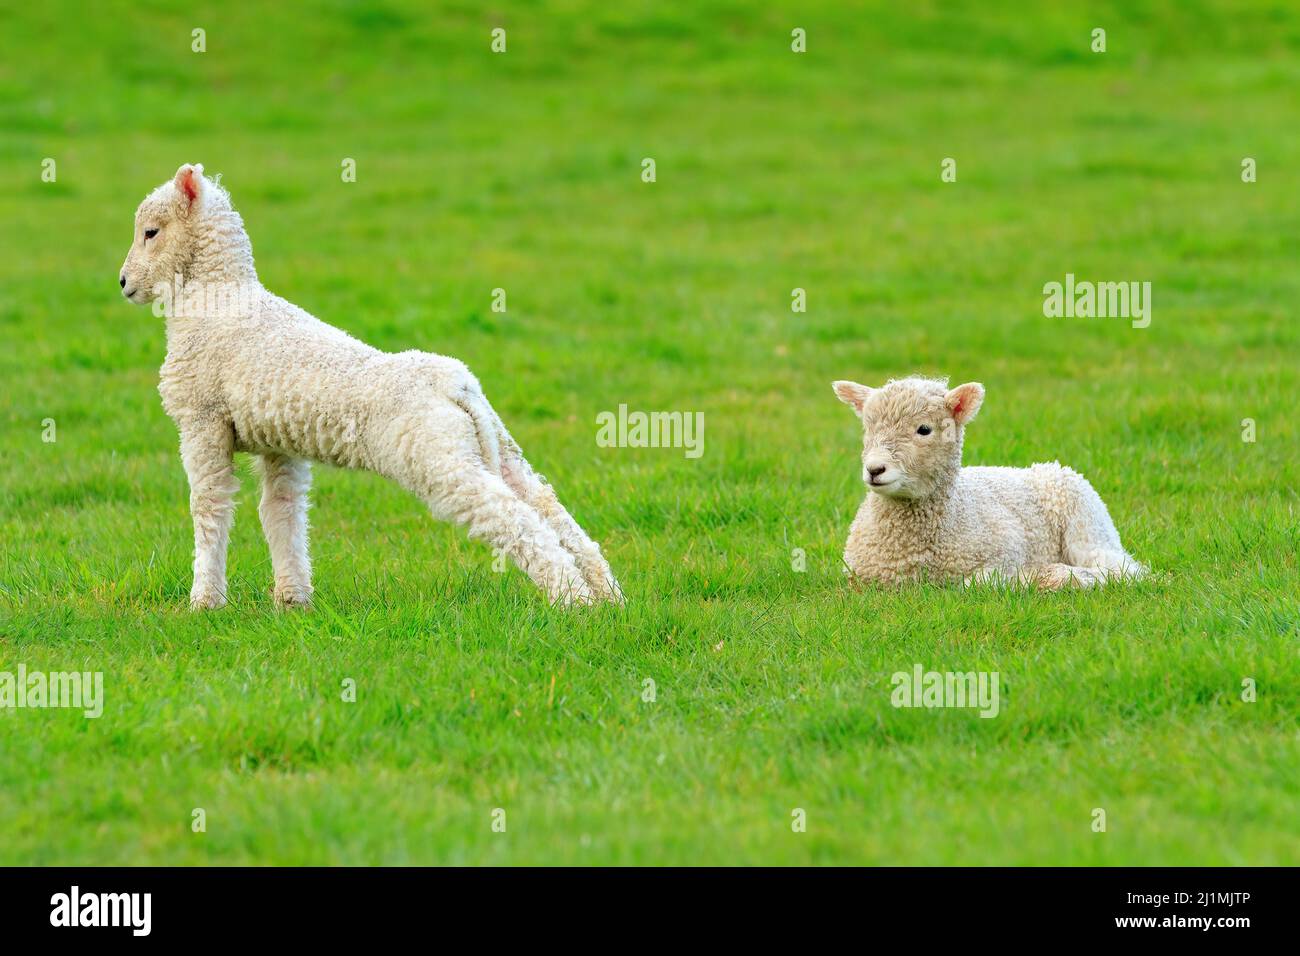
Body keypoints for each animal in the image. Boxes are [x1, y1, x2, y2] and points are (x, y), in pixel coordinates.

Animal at [119, 163, 621, 609]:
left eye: (151, 232)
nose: (123, 283)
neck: (217, 299)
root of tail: (456, 383)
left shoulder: (201, 421)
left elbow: (209, 510)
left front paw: (205, 601)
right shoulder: (278, 441)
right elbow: (282, 513)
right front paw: (293, 599)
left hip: (438, 458)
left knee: (516, 519)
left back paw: (572, 600)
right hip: (492, 446)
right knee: (547, 506)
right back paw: (607, 596)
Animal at [831, 376, 1146, 589]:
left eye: (924, 429)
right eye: (868, 428)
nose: (875, 469)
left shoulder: (1008, 547)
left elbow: (979, 583)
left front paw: (1045, 576)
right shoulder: (857, 575)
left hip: (1089, 526)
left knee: (1125, 569)